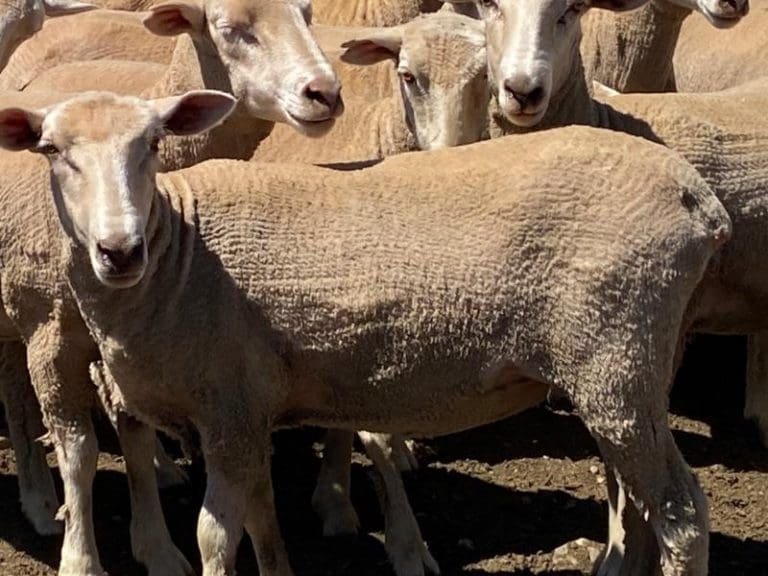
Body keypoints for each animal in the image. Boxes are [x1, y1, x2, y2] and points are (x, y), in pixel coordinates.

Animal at [0, 88, 731, 576]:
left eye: (152, 145)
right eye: (52, 152)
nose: (118, 249)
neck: (179, 255)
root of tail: (697, 198)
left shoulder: (228, 409)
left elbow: (214, 536)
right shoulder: (250, 407)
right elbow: (263, 518)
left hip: (618, 362)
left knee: (682, 516)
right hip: (632, 367)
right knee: (641, 506)